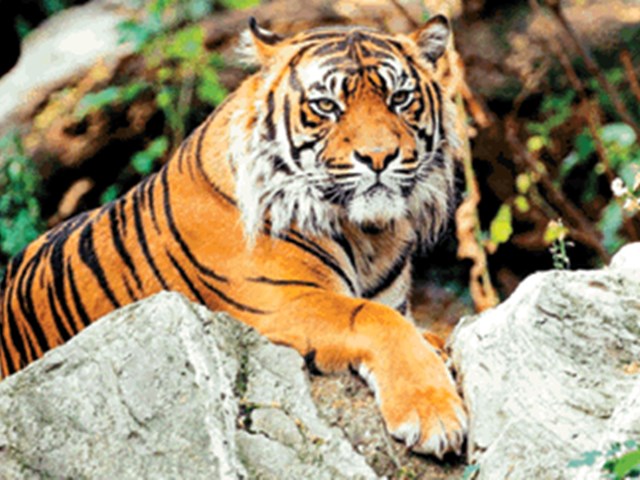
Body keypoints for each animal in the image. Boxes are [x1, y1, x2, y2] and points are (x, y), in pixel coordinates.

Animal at [0, 15, 467, 458]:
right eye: (326, 105)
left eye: (399, 98)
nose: (379, 157)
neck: (369, 235)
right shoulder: (279, 304)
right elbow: (375, 319)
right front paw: (434, 415)